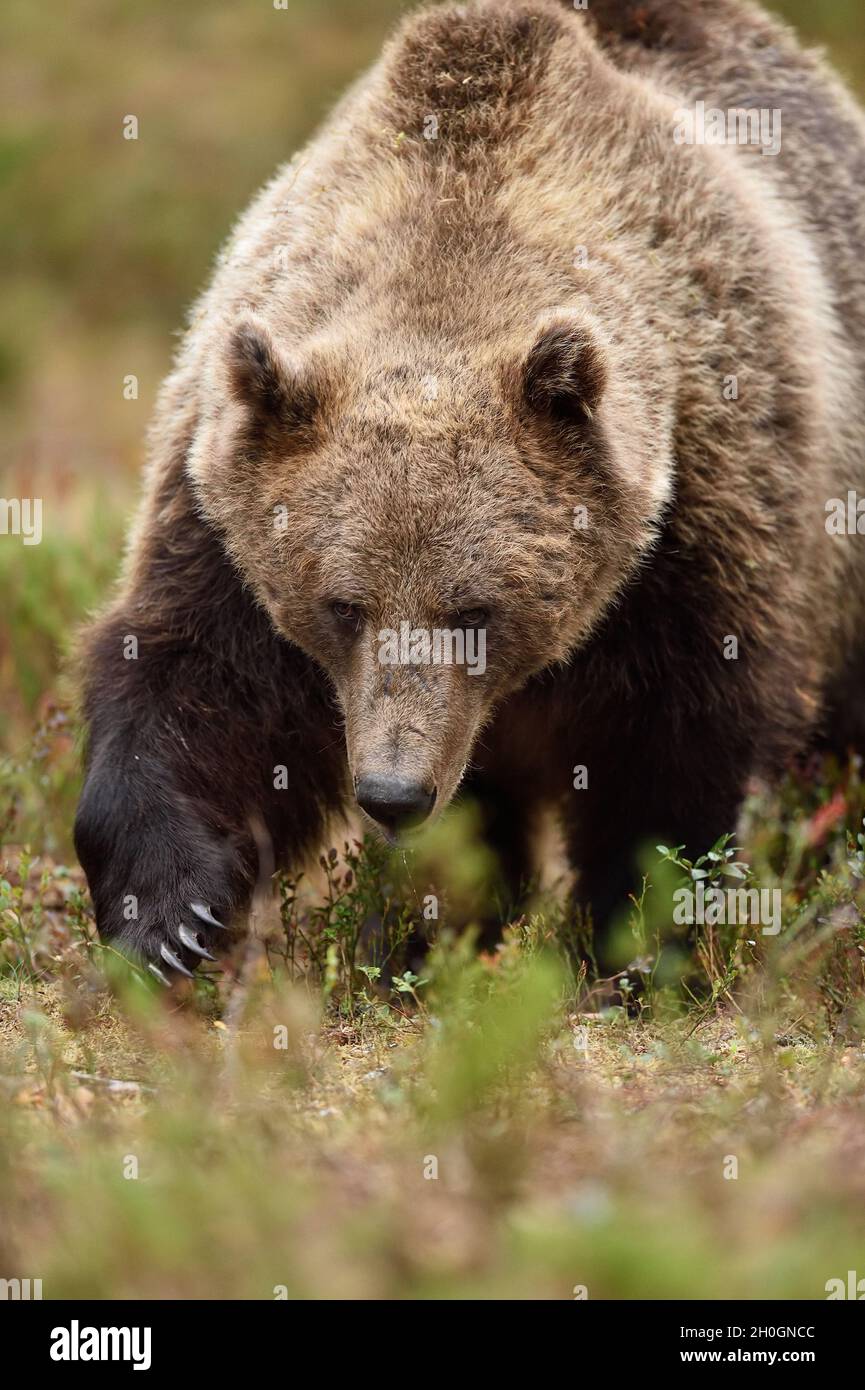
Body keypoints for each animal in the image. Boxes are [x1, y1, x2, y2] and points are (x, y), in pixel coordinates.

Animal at [74, 0, 865, 984]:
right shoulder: (222, 499)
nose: (393, 792)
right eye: (343, 606)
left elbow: (682, 741)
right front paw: (171, 918)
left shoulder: (706, 503)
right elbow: (191, 680)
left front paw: (637, 944)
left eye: (476, 612)